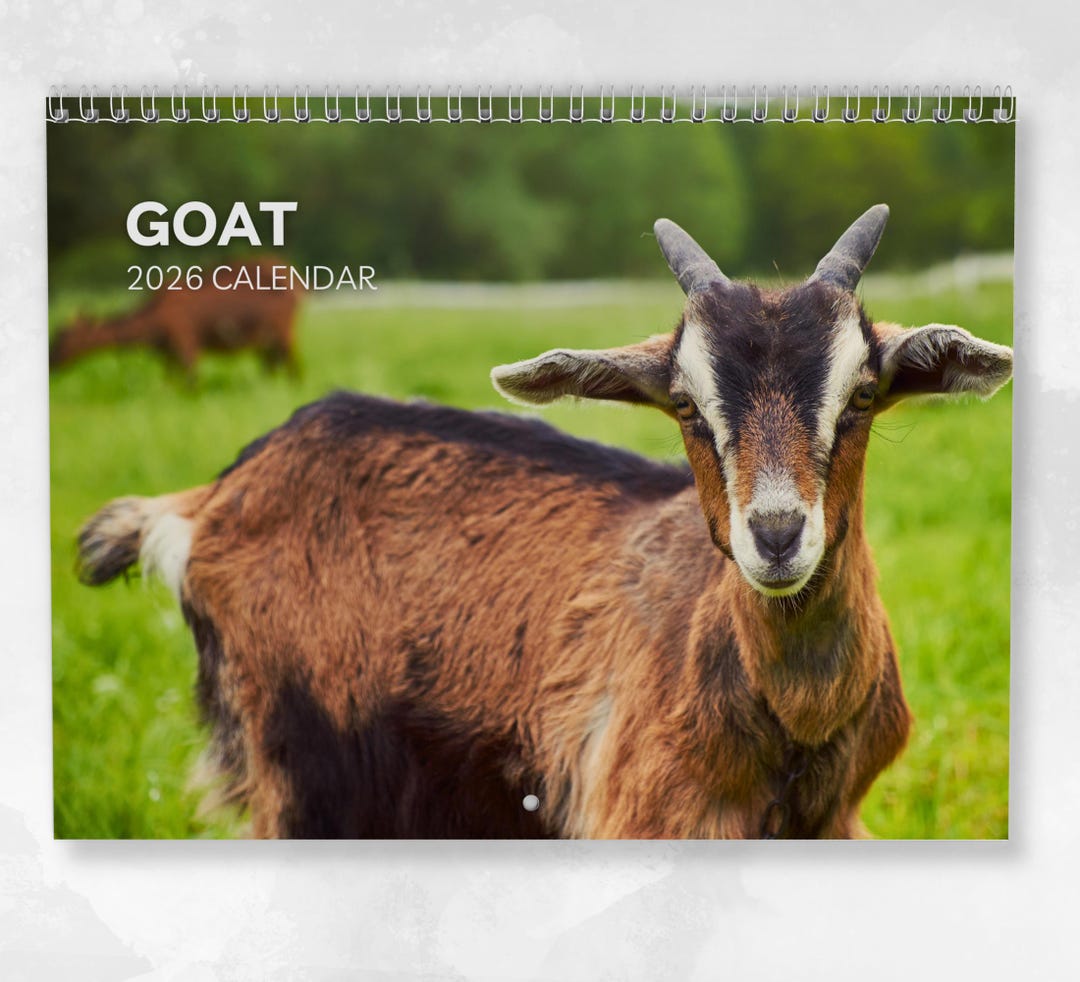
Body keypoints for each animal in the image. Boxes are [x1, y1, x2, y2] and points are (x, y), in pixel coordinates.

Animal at [49, 261, 301, 381]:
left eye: (63, 336)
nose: (51, 361)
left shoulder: (186, 345)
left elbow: (191, 382)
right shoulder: (167, 354)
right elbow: (169, 383)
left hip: (284, 332)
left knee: (293, 367)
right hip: (266, 341)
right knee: (271, 366)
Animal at [75, 205, 1012, 838]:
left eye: (862, 395)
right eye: (685, 404)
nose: (777, 536)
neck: (793, 725)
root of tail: (211, 498)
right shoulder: (638, 812)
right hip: (298, 768)